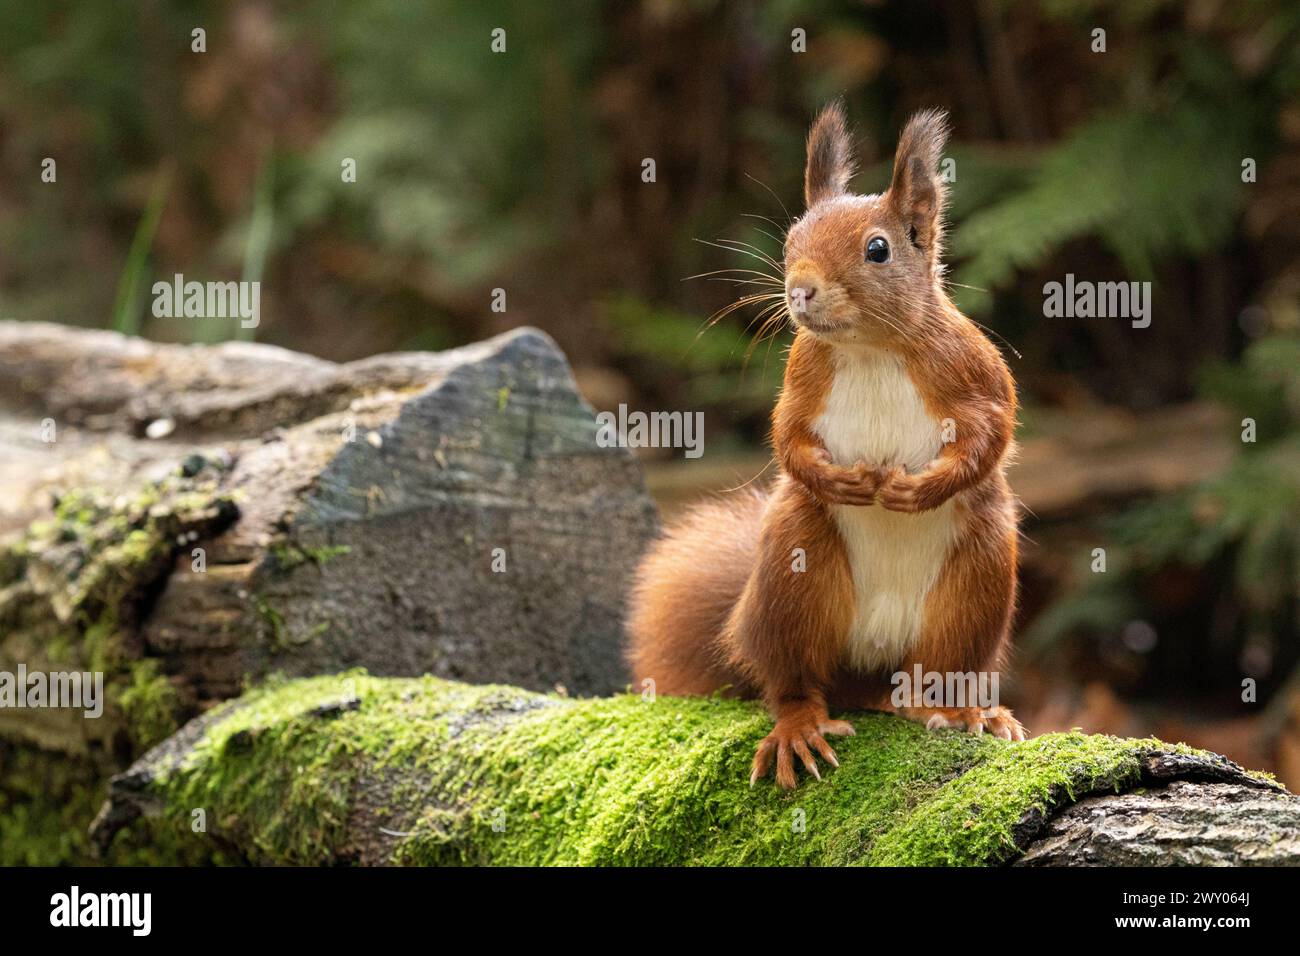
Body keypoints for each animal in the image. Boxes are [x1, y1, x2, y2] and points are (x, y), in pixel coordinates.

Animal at [626, 103, 1025, 789]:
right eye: (792, 239)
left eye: (878, 249)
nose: (800, 289)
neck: (869, 348)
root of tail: (869, 678)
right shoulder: (801, 379)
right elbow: (787, 439)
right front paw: (841, 479)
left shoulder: (974, 371)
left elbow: (993, 433)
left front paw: (918, 488)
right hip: (797, 571)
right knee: (790, 679)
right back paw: (800, 727)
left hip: (977, 582)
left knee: (939, 671)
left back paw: (965, 711)